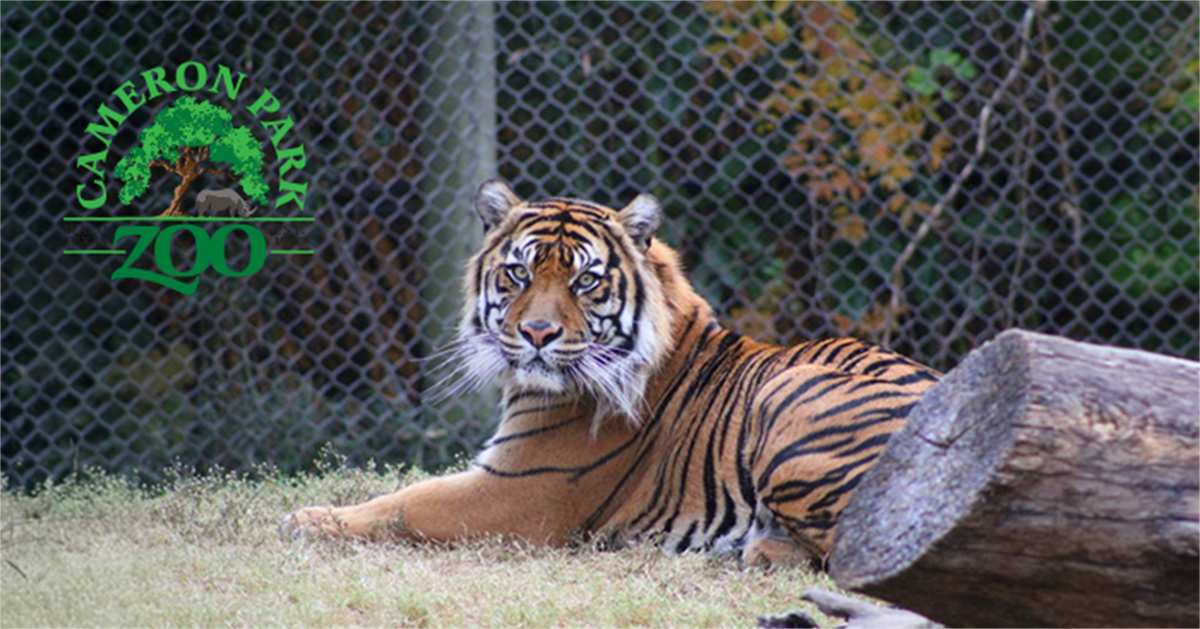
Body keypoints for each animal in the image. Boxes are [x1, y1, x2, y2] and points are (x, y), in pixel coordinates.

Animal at [281, 180, 939, 567]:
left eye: (585, 280)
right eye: (519, 273)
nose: (537, 334)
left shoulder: (518, 492)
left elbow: (406, 502)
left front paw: (307, 519)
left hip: (788, 389)